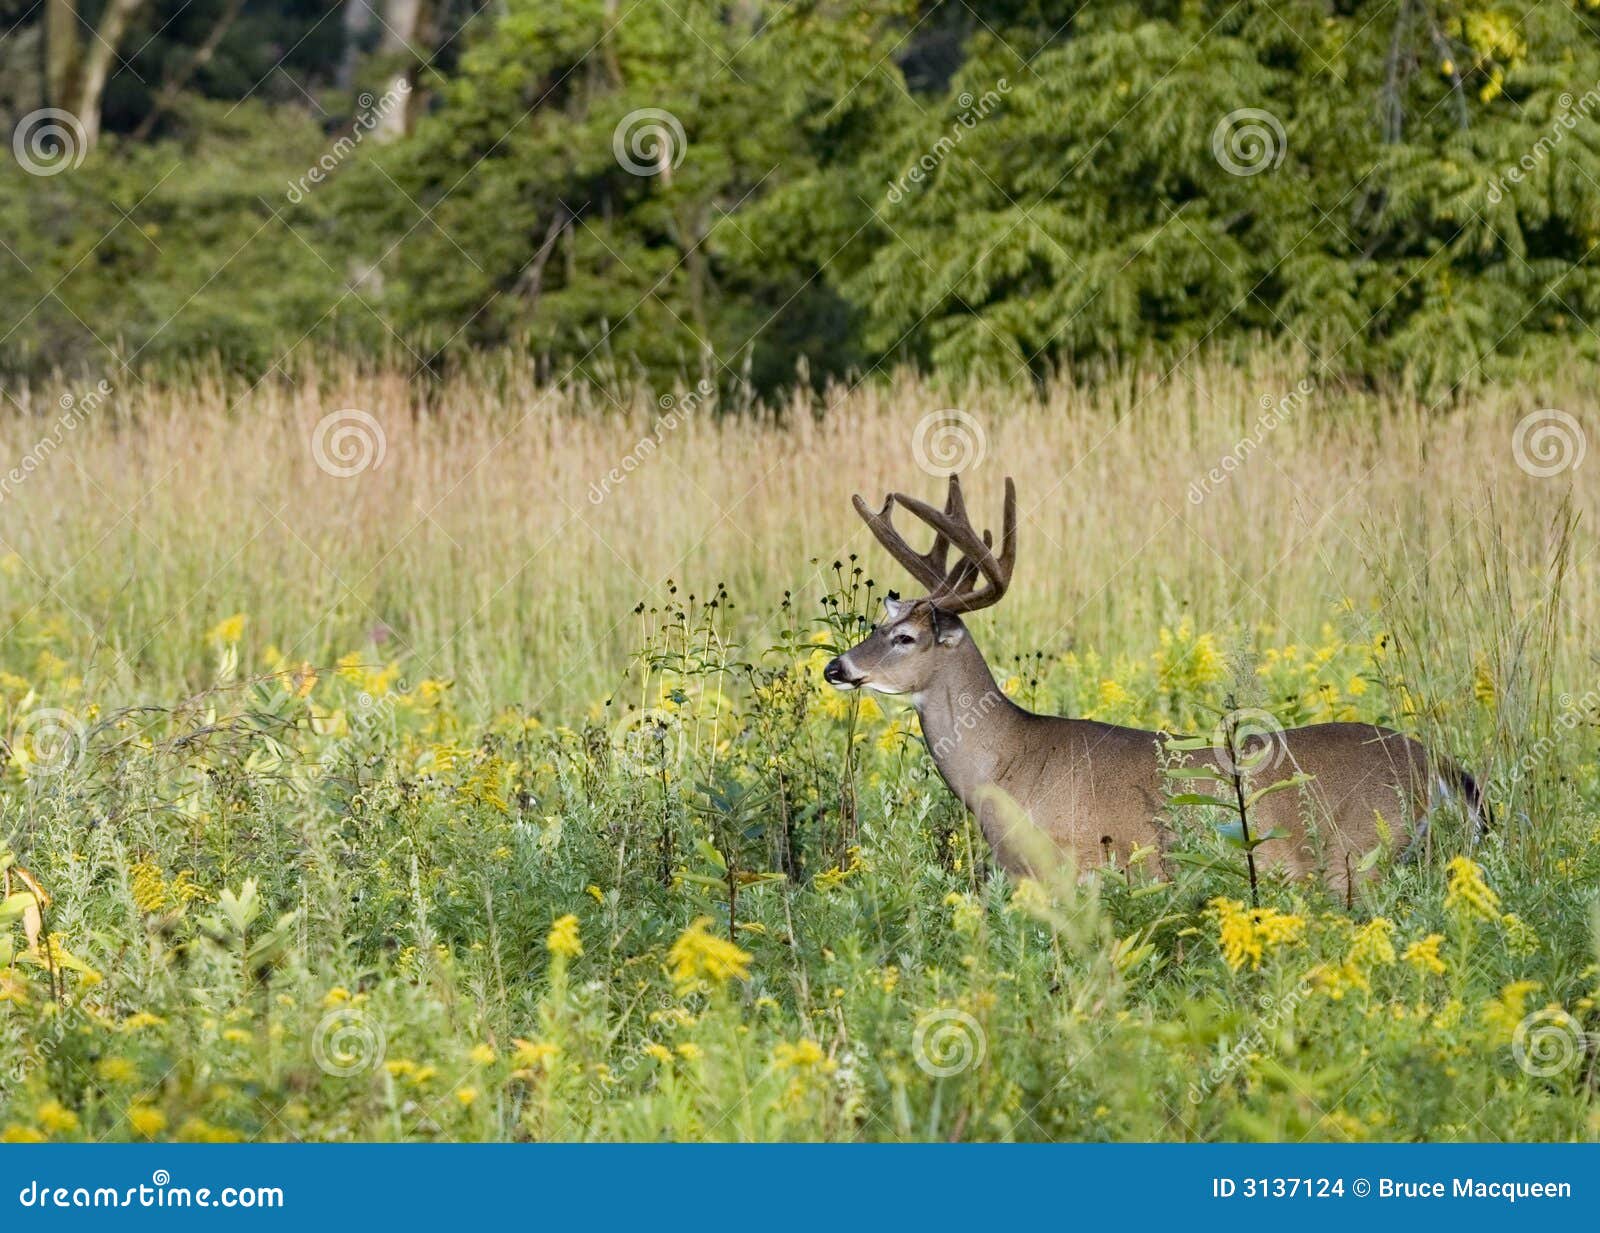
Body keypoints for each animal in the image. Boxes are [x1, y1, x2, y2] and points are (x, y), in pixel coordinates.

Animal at [823, 474, 1487, 894]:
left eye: (906, 637)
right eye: (876, 624)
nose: (837, 668)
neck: (1004, 767)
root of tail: (1439, 767)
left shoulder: (1066, 866)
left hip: (1358, 859)